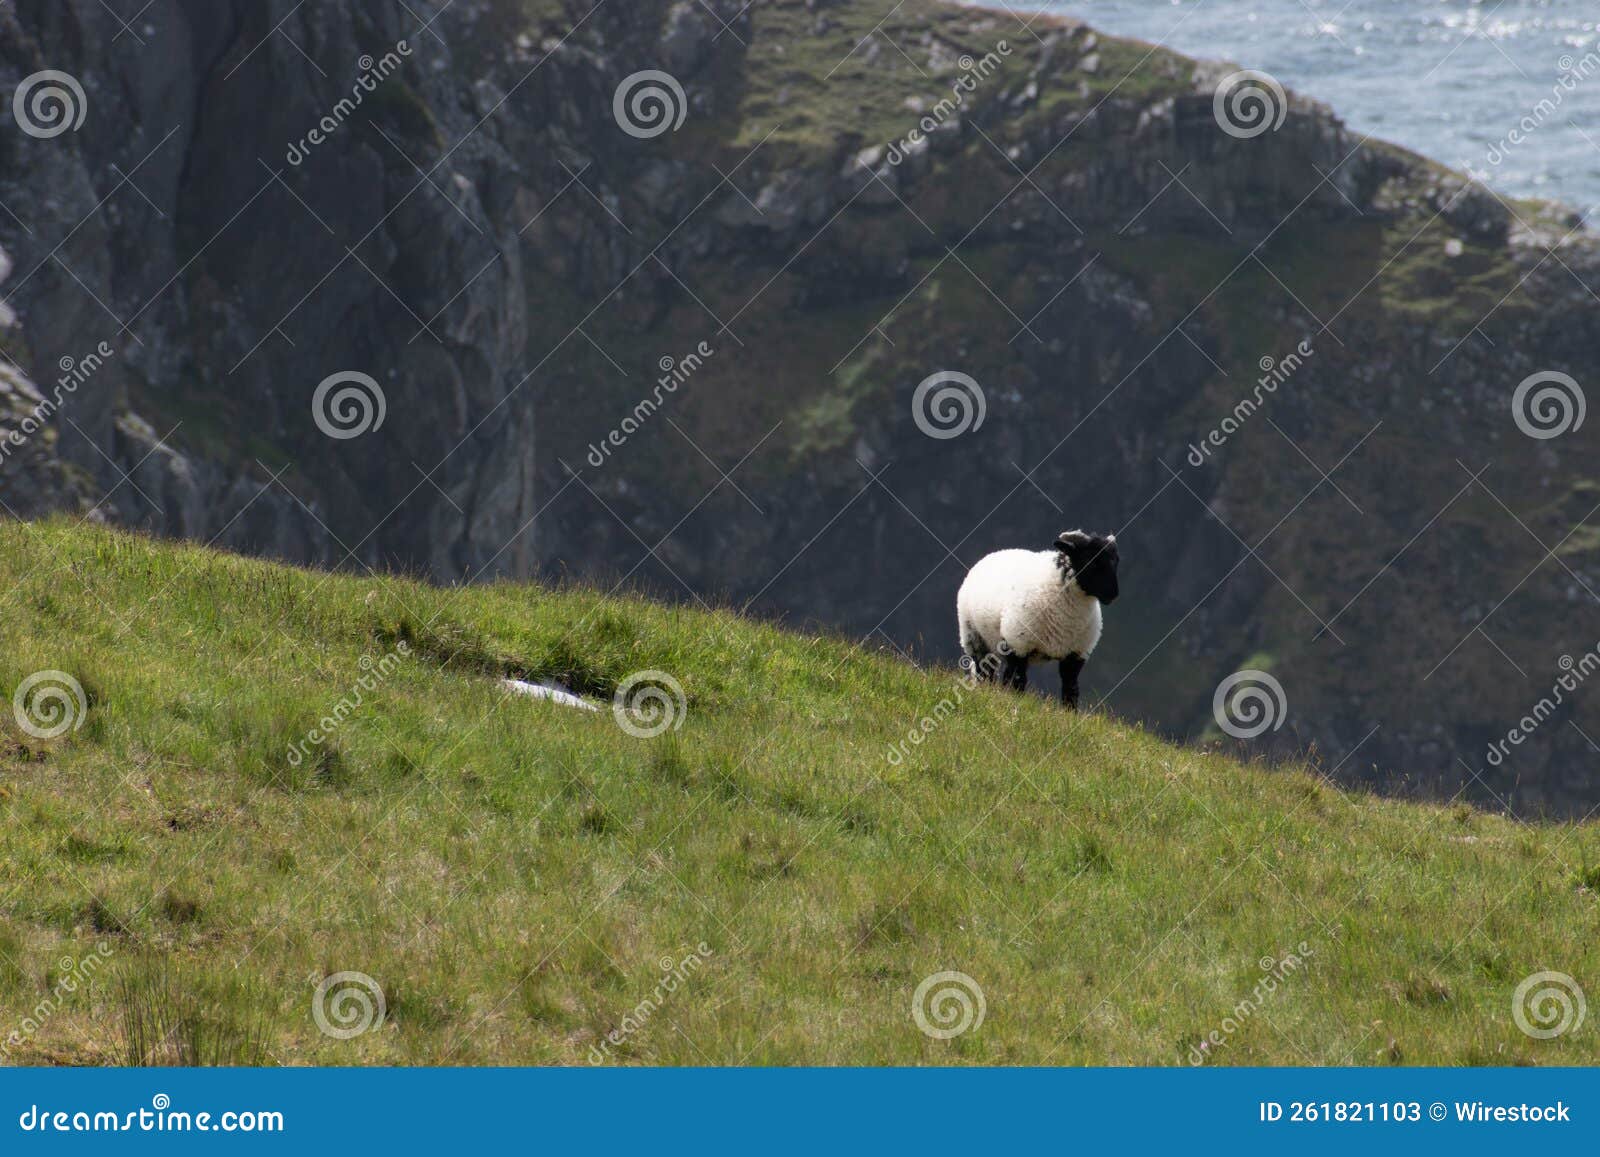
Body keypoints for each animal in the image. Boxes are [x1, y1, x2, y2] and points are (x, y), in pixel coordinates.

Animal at [956, 529, 1119, 709]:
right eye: (1091, 561)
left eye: (1116, 561)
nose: (1113, 595)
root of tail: (994, 553)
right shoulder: (1018, 645)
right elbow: (1017, 681)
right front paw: (1015, 703)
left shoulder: (1076, 654)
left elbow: (1071, 688)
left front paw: (1069, 711)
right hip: (973, 635)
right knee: (985, 672)